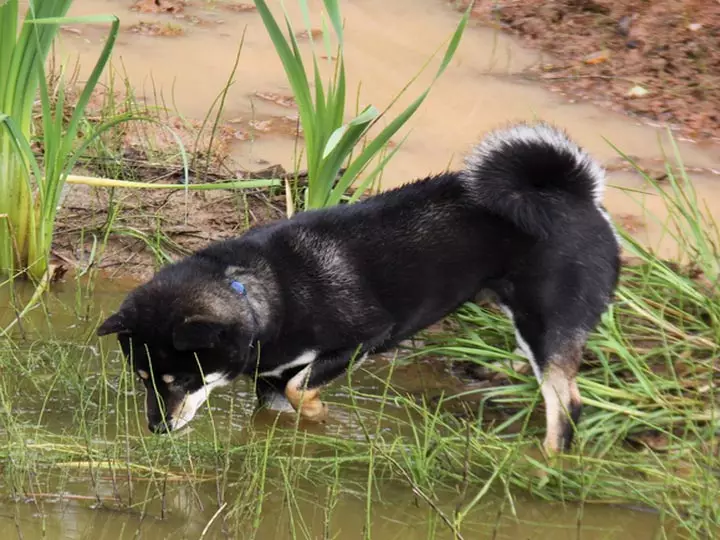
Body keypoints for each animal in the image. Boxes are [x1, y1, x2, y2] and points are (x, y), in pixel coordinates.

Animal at [98, 122, 620, 452]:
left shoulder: (364, 339)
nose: (156, 429)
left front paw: (321, 417)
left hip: (546, 320)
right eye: (142, 379)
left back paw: (542, 465)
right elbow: (279, 407)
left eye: (179, 379)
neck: (262, 292)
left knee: (567, 407)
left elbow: (301, 389)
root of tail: (573, 195)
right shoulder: (270, 378)